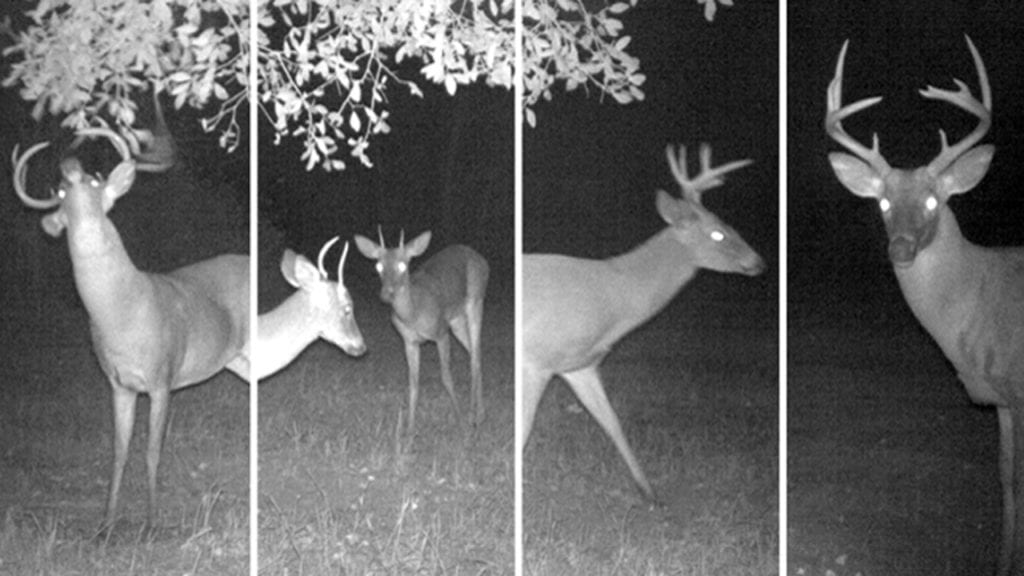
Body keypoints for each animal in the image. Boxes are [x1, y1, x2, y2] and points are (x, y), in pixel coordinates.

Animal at [12, 127, 249, 530]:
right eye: (61, 192)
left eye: (95, 181)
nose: (69, 163)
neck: (123, 315)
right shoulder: (118, 383)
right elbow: (119, 451)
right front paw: (106, 524)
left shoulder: (162, 378)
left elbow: (152, 450)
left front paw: (152, 522)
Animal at [354, 229, 489, 434]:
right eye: (378, 266)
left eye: (403, 264)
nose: (386, 294)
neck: (413, 314)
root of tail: (481, 259)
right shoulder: (409, 341)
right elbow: (413, 382)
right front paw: (409, 430)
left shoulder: (441, 332)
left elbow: (446, 377)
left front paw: (460, 421)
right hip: (456, 320)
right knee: (475, 353)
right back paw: (480, 414)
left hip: (475, 300)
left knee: (475, 356)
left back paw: (473, 417)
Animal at [522, 143, 763, 501]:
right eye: (718, 233)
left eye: (731, 225)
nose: (759, 262)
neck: (614, 297)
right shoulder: (538, 359)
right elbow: (525, 426)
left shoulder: (581, 366)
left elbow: (613, 423)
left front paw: (649, 492)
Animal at [825, 35, 1024, 575]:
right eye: (883, 203)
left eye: (935, 201)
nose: (900, 249)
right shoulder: (1002, 399)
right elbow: (1007, 480)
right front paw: (1003, 563)